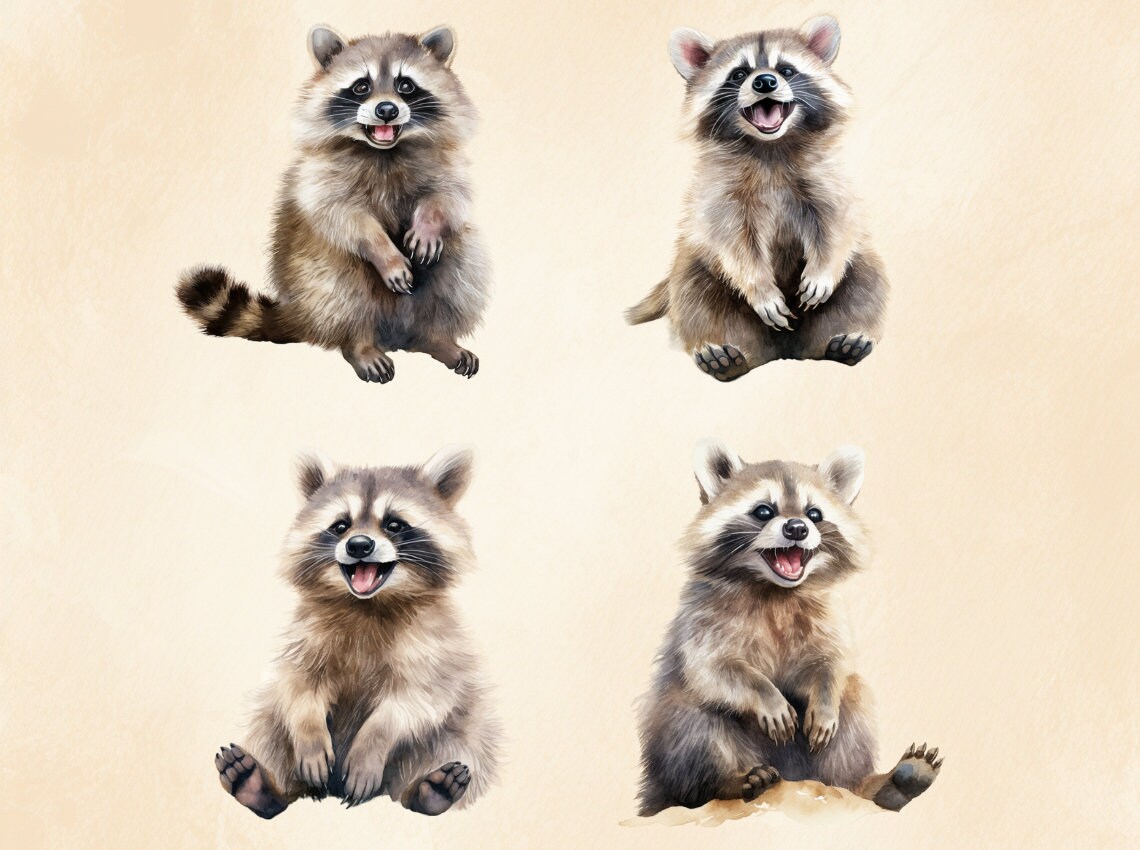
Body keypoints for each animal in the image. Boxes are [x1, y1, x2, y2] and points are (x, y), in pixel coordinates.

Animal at [178, 25, 489, 383]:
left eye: (406, 85)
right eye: (361, 86)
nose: (386, 110)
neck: (384, 151)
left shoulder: (445, 164)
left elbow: (449, 197)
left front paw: (428, 225)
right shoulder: (321, 178)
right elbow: (342, 216)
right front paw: (384, 252)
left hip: (453, 271)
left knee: (460, 266)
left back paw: (436, 338)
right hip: (314, 276)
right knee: (343, 286)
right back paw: (360, 344)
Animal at [214, 448, 500, 818]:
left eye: (394, 524)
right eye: (340, 525)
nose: (359, 545)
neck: (367, 605)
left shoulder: (435, 648)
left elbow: (415, 701)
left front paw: (370, 745)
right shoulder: (305, 635)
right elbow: (295, 686)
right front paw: (310, 731)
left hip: (465, 732)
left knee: (463, 739)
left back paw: (429, 791)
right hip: (273, 734)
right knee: (270, 720)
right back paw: (259, 786)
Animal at [626, 17, 888, 380]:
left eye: (787, 70)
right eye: (738, 74)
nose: (765, 81)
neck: (770, 146)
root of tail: (786, 351)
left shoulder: (826, 181)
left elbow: (838, 224)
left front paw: (822, 272)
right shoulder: (719, 195)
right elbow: (733, 243)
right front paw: (760, 289)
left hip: (855, 278)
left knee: (867, 278)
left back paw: (844, 340)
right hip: (697, 271)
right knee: (693, 291)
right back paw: (723, 355)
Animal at [636, 440, 940, 815]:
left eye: (815, 514)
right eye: (763, 511)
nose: (797, 528)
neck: (776, 590)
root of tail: (794, 775)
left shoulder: (827, 616)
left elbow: (831, 665)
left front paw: (824, 700)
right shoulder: (701, 620)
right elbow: (716, 669)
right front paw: (766, 695)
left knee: (855, 702)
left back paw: (877, 785)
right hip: (671, 730)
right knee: (694, 729)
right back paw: (732, 781)